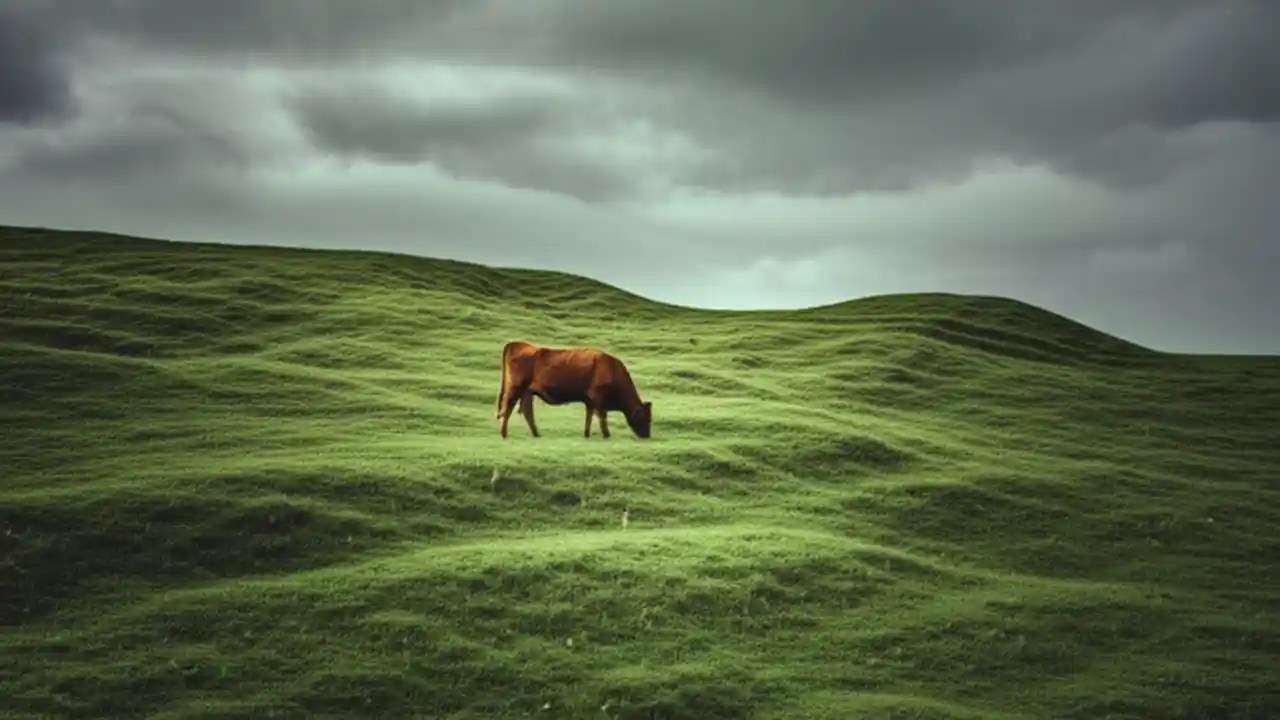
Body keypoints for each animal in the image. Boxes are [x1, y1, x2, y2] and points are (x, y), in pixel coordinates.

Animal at [495, 341, 652, 440]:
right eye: (646, 418)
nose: (647, 436)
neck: (611, 369)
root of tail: (518, 344)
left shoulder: (590, 400)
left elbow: (589, 416)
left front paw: (587, 434)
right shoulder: (598, 397)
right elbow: (602, 416)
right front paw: (607, 435)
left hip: (527, 392)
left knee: (527, 410)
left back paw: (536, 434)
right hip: (515, 388)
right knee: (508, 407)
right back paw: (504, 434)